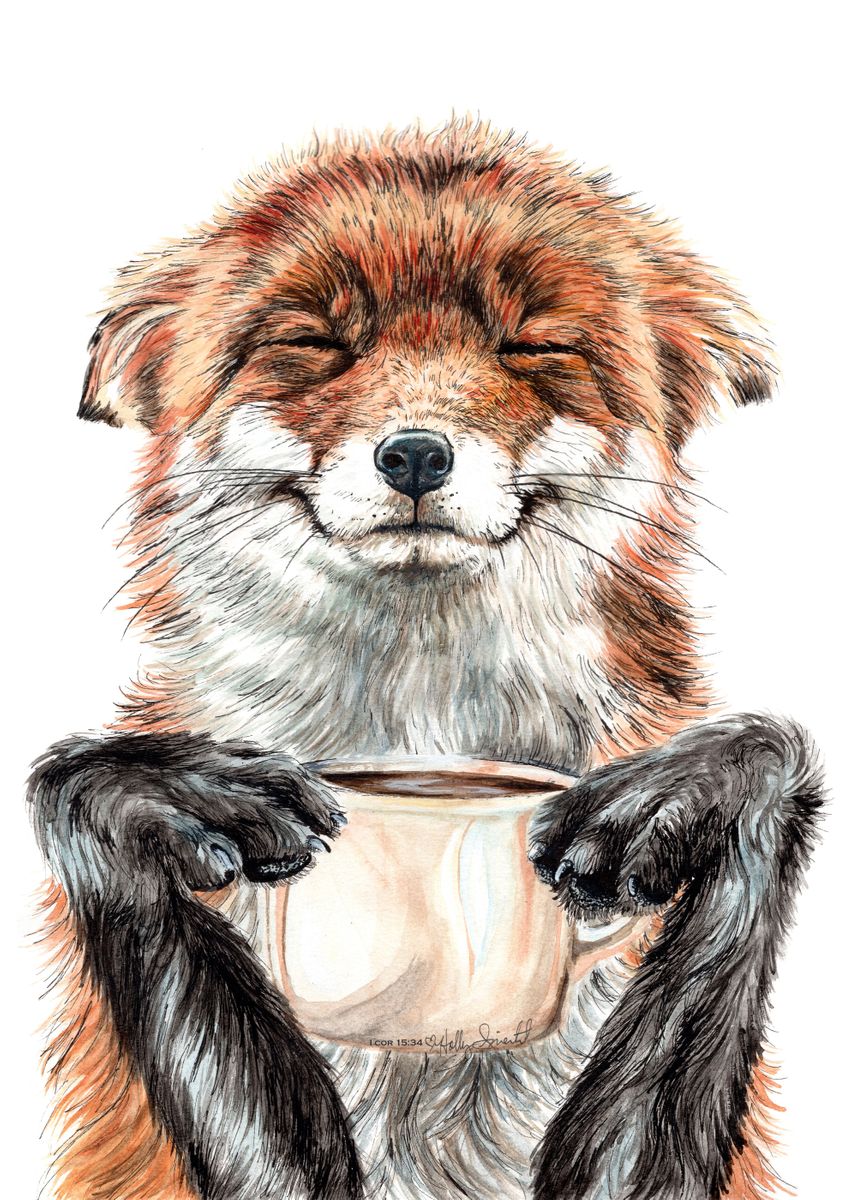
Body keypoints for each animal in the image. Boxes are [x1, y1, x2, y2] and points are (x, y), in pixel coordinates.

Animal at [29, 121, 822, 1200]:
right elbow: (81, 788)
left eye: (531, 343)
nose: (414, 456)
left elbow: (765, 759)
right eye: (315, 342)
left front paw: (694, 795)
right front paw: (166, 794)